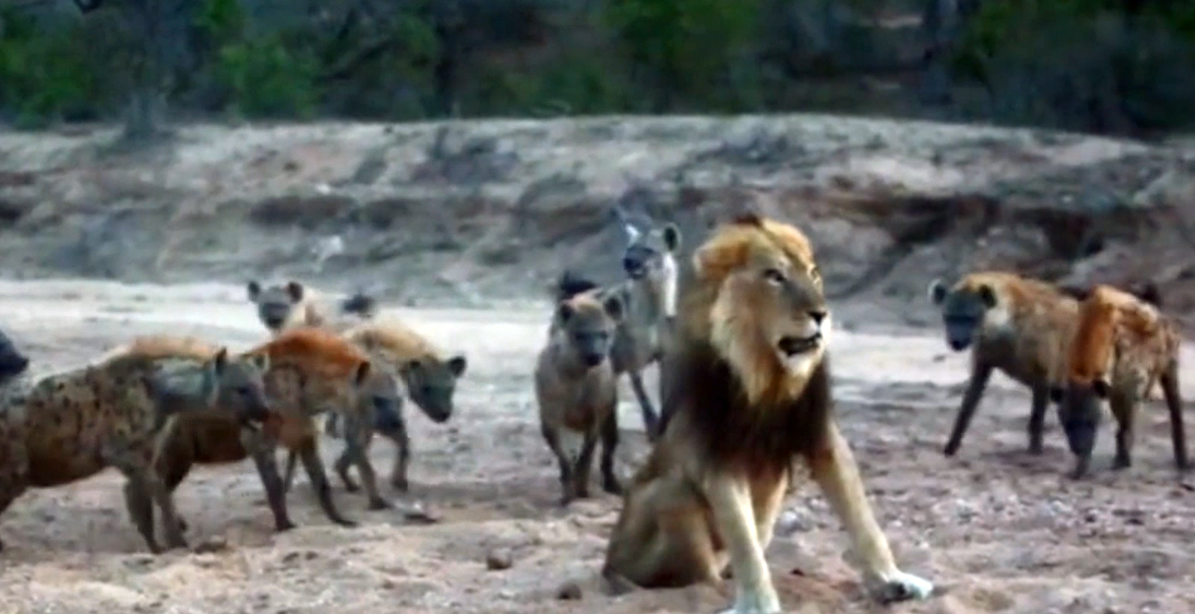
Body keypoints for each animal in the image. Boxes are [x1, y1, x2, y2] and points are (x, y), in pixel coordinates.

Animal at [601, 213, 934, 614]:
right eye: (775, 276)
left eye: (813, 274)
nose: (821, 315)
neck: (768, 374)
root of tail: (609, 563)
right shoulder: (716, 451)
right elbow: (744, 541)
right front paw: (758, 604)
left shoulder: (822, 434)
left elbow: (861, 516)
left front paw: (893, 578)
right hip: (668, 499)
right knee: (700, 574)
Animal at [1049, 284, 1186, 479]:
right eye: (1067, 423)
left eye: (1090, 421)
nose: (1078, 448)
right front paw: (1080, 468)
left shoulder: (1130, 378)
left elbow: (1126, 421)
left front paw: (1123, 460)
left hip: (1168, 359)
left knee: (1174, 406)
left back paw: (1183, 461)